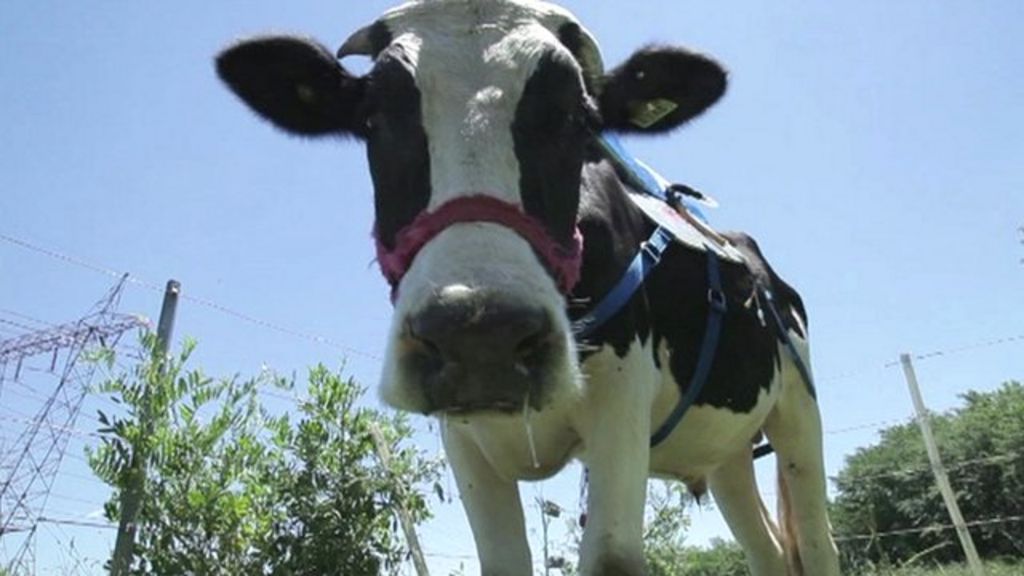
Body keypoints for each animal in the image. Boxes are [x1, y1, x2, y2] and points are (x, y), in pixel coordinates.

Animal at [216, 1, 839, 574]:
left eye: (576, 120)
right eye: (374, 120)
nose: (480, 336)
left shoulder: (621, 399)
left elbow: (612, 557)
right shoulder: (463, 439)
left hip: (798, 412)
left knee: (815, 541)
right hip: (726, 450)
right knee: (767, 550)